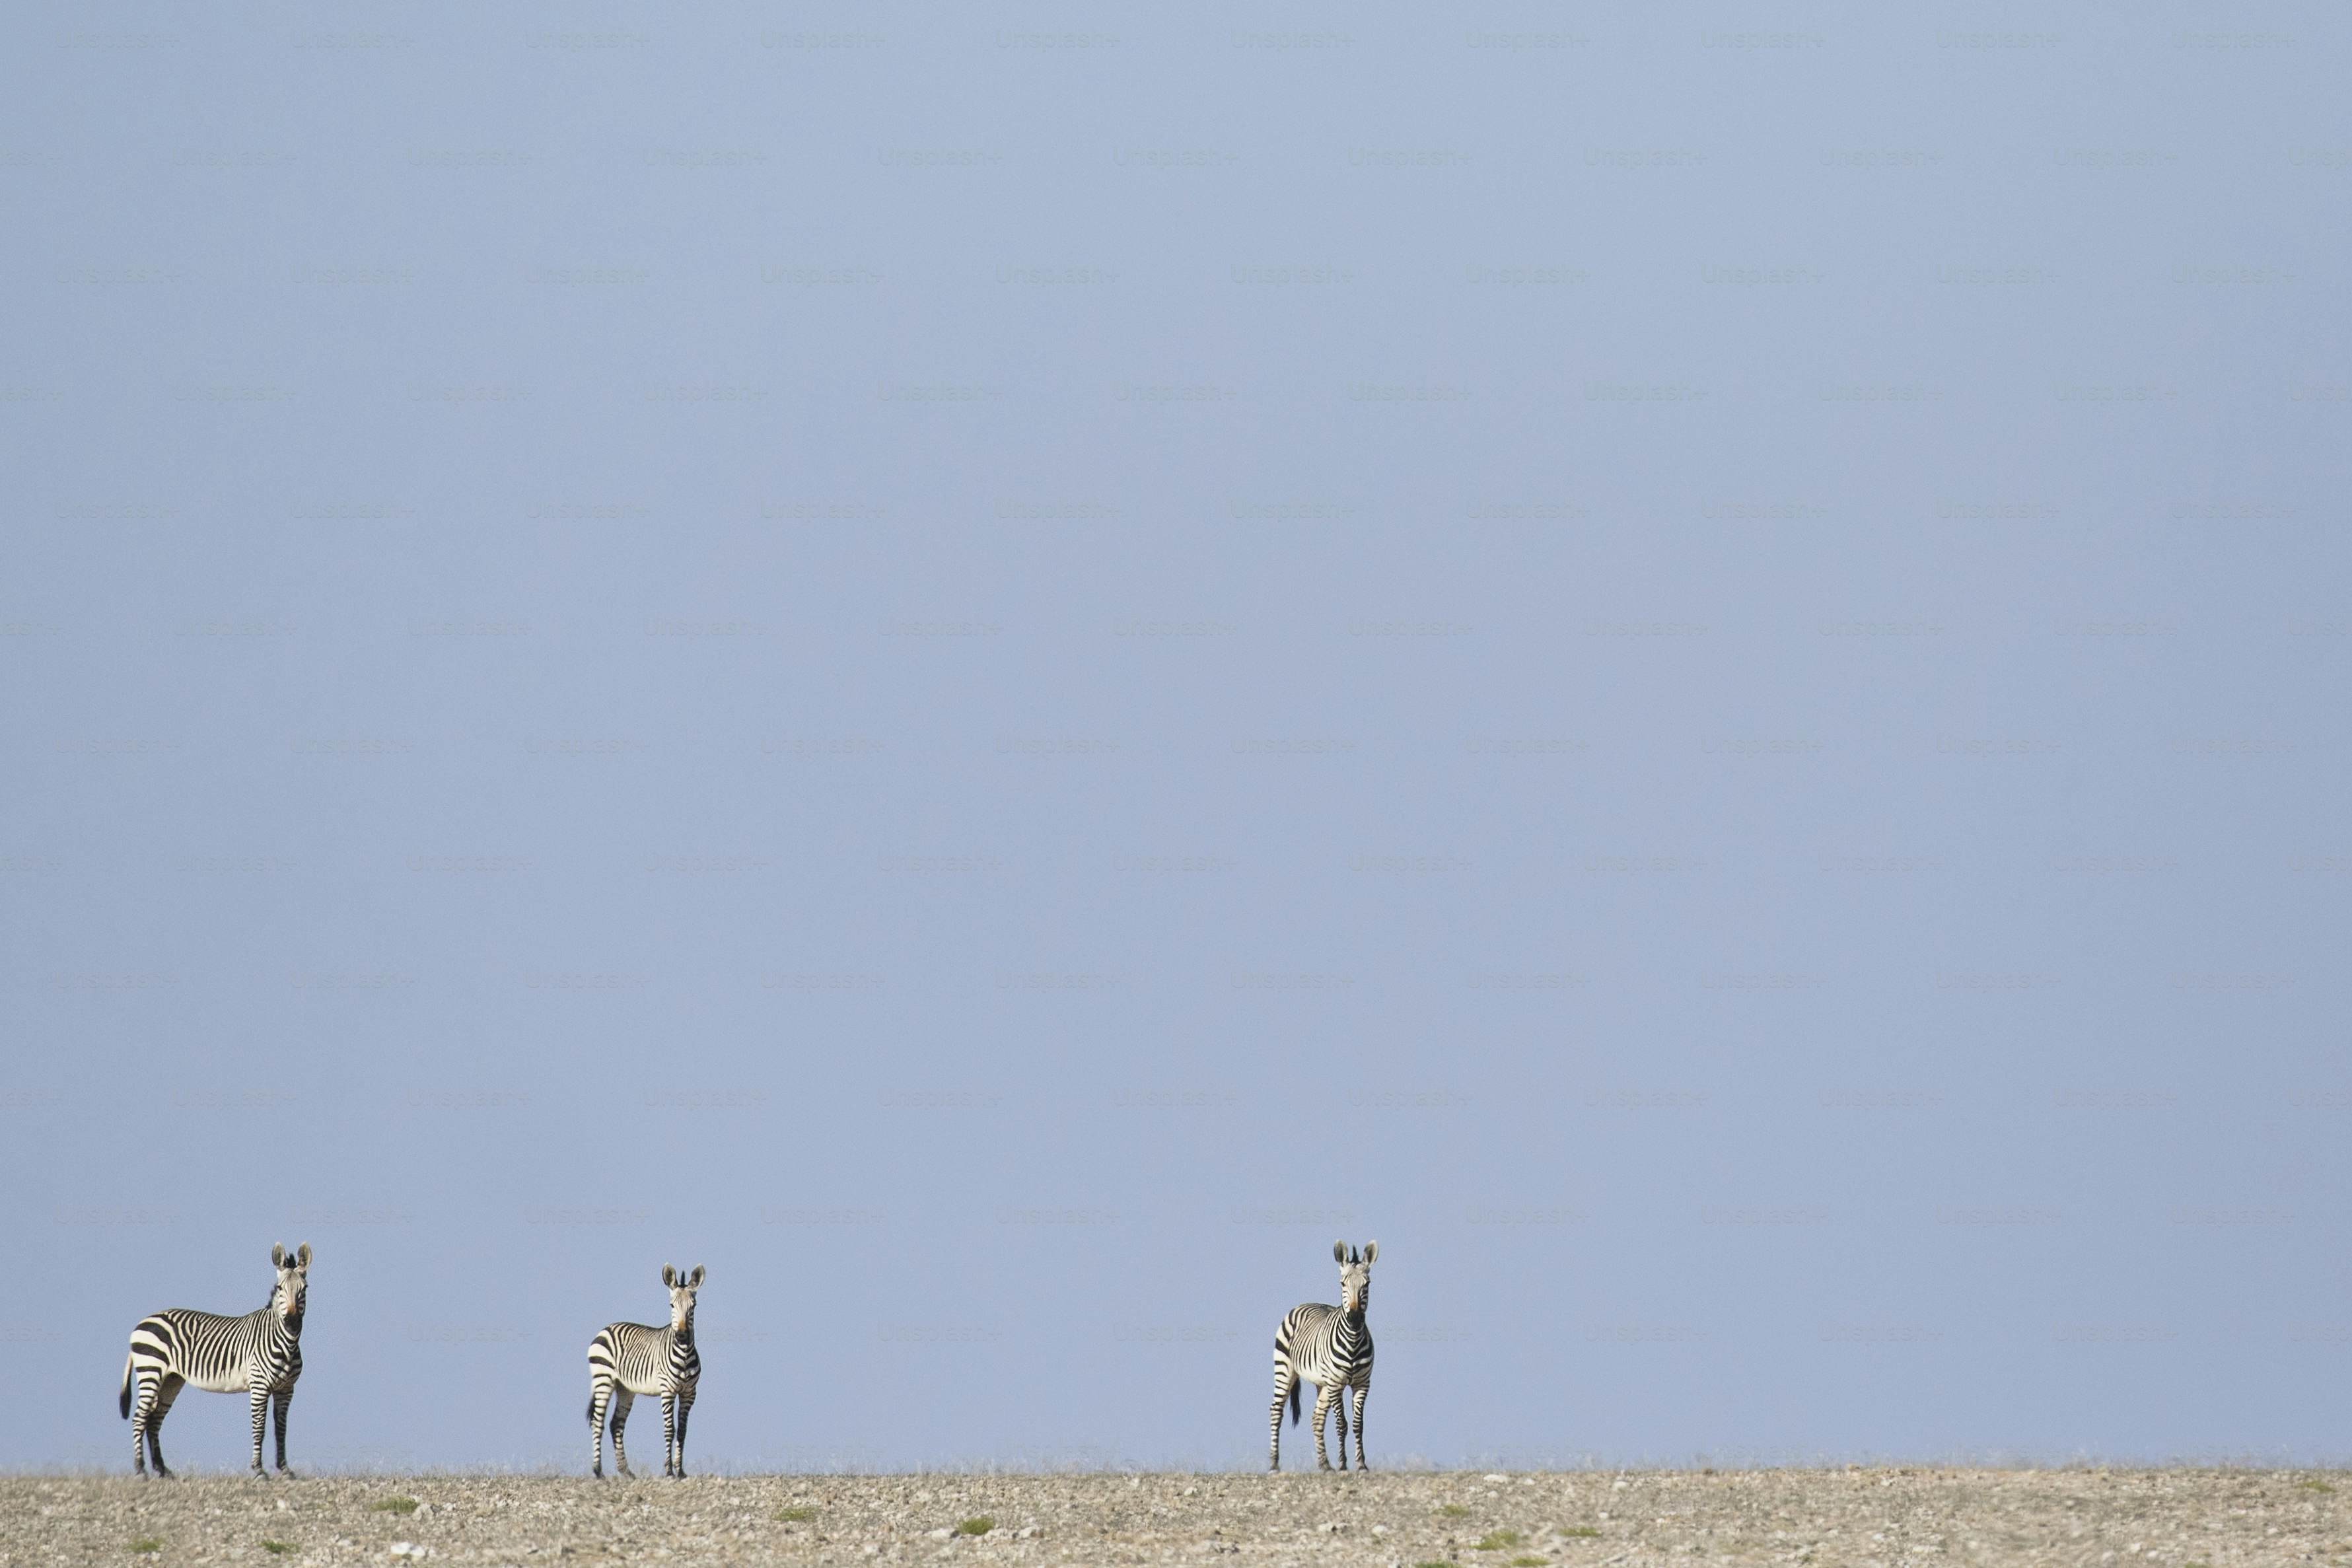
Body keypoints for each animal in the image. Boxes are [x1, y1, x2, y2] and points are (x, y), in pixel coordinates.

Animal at [118, 1243, 310, 1478]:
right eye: (280, 1288)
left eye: (304, 1289)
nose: (292, 1322)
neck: (285, 1344)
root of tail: (142, 1322)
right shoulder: (260, 1385)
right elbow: (260, 1427)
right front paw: (259, 1470)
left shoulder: (286, 1389)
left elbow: (281, 1429)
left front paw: (285, 1470)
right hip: (151, 1369)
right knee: (140, 1418)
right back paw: (141, 1470)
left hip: (171, 1379)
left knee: (154, 1419)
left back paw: (163, 1470)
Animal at [587, 1264, 704, 1478]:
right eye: (672, 1305)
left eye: (693, 1306)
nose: (682, 1336)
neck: (684, 1354)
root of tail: (608, 1327)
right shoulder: (667, 1391)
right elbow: (670, 1429)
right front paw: (669, 1471)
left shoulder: (689, 1393)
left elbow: (682, 1431)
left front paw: (681, 1471)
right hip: (603, 1378)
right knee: (598, 1421)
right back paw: (598, 1472)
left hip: (625, 1388)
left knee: (616, 1424)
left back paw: (626, 1472)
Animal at [1268, 1239, 1377, 1472]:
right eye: (1343, 1284)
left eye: (1367, 1284)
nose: (1355, 1318)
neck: (1353, 1341)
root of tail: (1304, 1303)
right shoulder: (1336, 1383)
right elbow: (1342, 1423)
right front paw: (1344, 1465)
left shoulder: (1362, 1384)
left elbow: (1358, 1424)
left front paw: (1361, 1465)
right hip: (1284, 1369)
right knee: (1276, 1410)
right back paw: (1274, 1465)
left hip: (1323, 1383)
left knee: (1316, 1418)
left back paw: (1325, 1465)